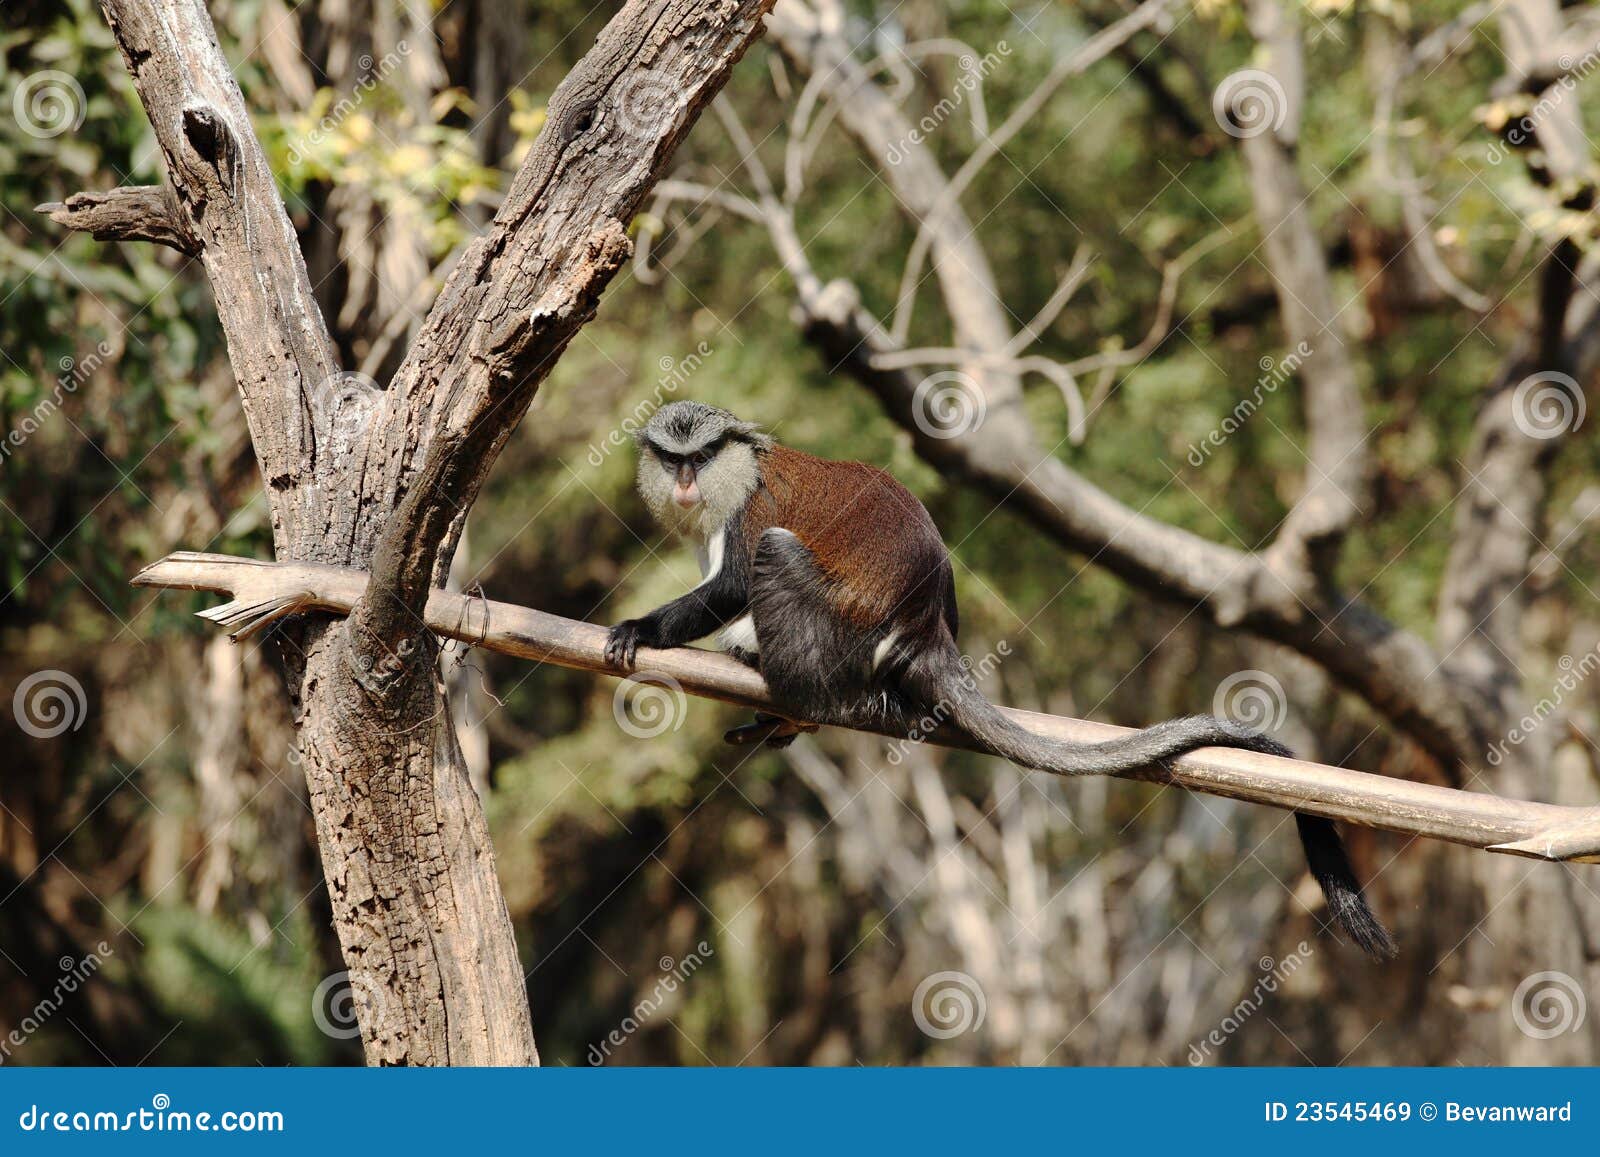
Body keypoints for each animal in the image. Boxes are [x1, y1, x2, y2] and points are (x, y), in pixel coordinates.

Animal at [605, 400, 1396, 959]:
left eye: (702, 454)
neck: (741, 470)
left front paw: (641, 628)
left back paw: (786, 692)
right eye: (670, 457)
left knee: (778, 563)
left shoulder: (749, 511)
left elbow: (733, 582)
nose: (684, 484)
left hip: (819, 623)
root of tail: (925, 632)